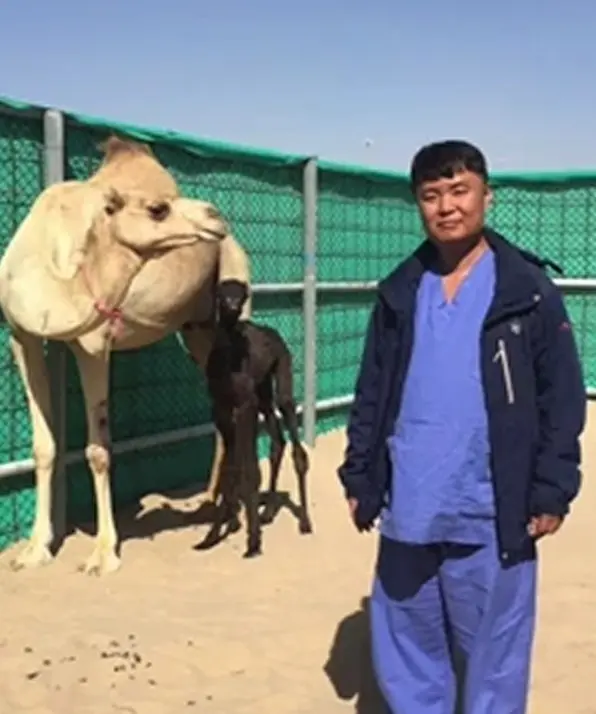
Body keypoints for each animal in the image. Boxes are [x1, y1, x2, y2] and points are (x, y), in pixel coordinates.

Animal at [0, 136, 251, 576]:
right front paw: (34, 549)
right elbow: (43, 447)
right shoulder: (22, 336)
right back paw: (209, 499)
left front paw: (103, 554)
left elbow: (98, 449)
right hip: (197, 329)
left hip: (237, 294)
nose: (214, 215)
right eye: (157, 208)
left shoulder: (94, 341)